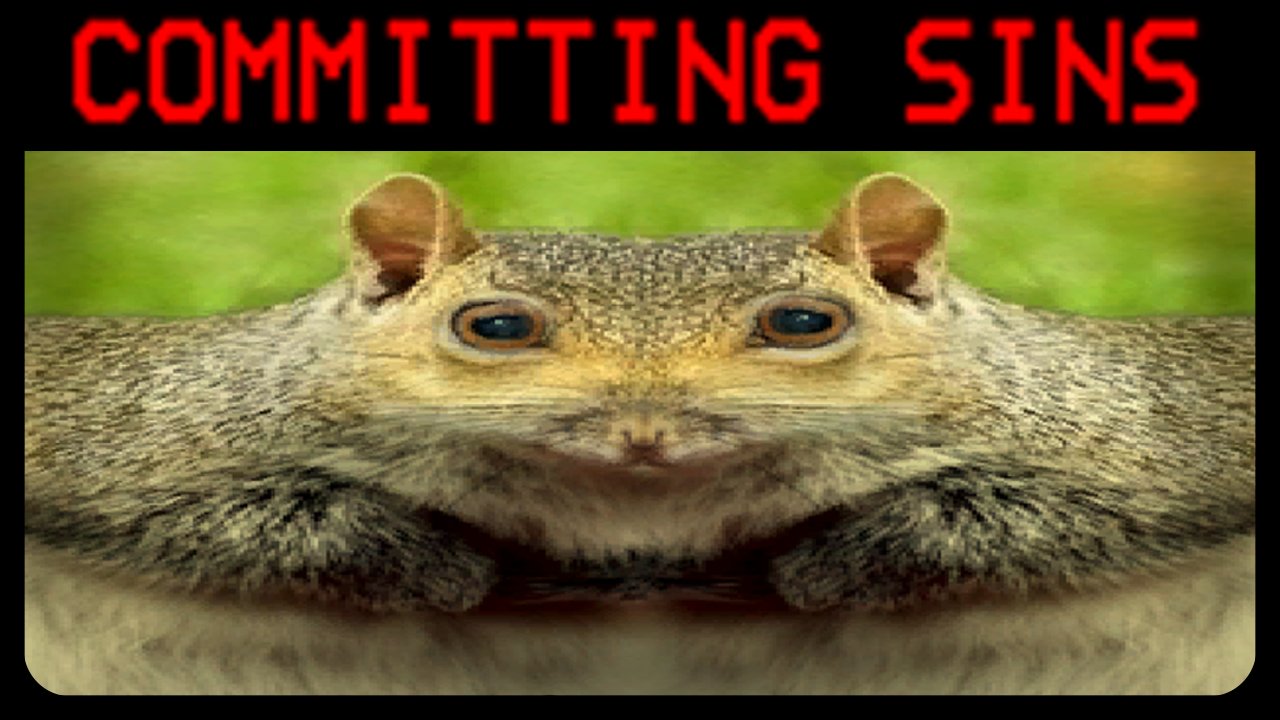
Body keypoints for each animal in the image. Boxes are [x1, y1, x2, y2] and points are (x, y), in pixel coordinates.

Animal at [25, 172, 1254, 694]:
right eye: (496, 326)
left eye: (802, 323)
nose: (646, 431)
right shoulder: (135, 450)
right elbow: (267, 523)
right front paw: (456, 567)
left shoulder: (1149, 451)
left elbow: (1000, 520)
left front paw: (812, 566)